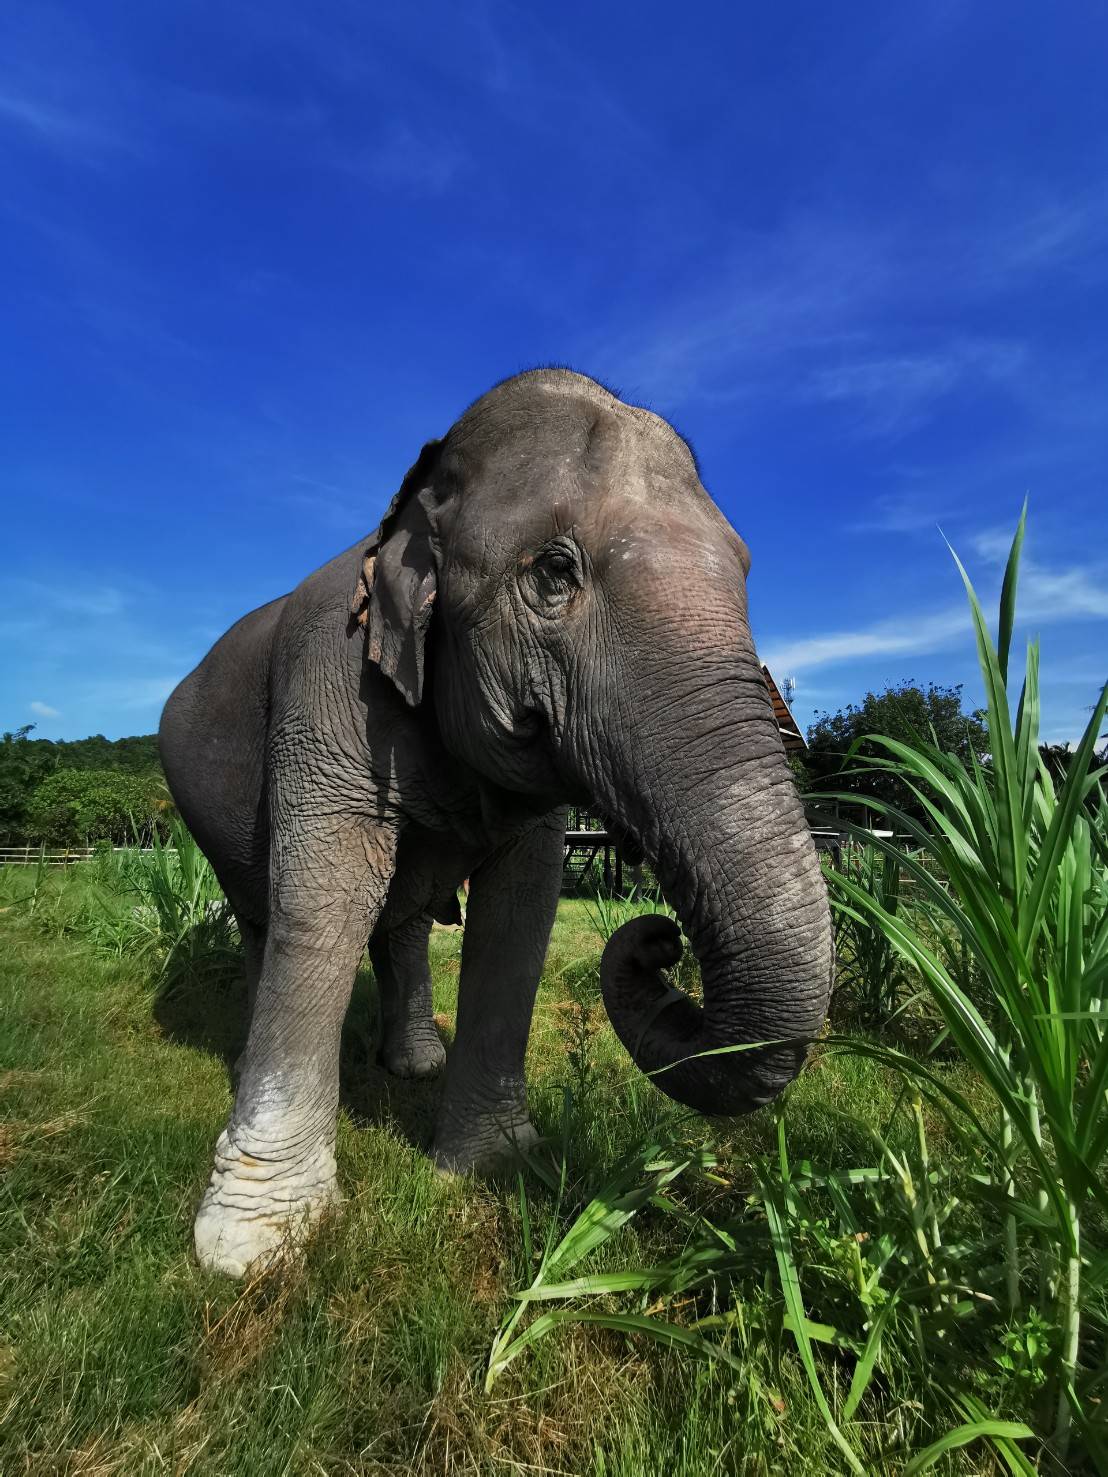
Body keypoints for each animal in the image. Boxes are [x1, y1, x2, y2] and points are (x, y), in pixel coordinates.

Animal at [159, 367, 832, 1278]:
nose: (659, 938)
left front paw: (494, 1165)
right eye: (553, 569)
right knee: (267, 912)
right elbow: (330, 895)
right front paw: (253, 1246)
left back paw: (414, 1063)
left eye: (747, 566)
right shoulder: (324, 676)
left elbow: (521, 911)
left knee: (402, 917)